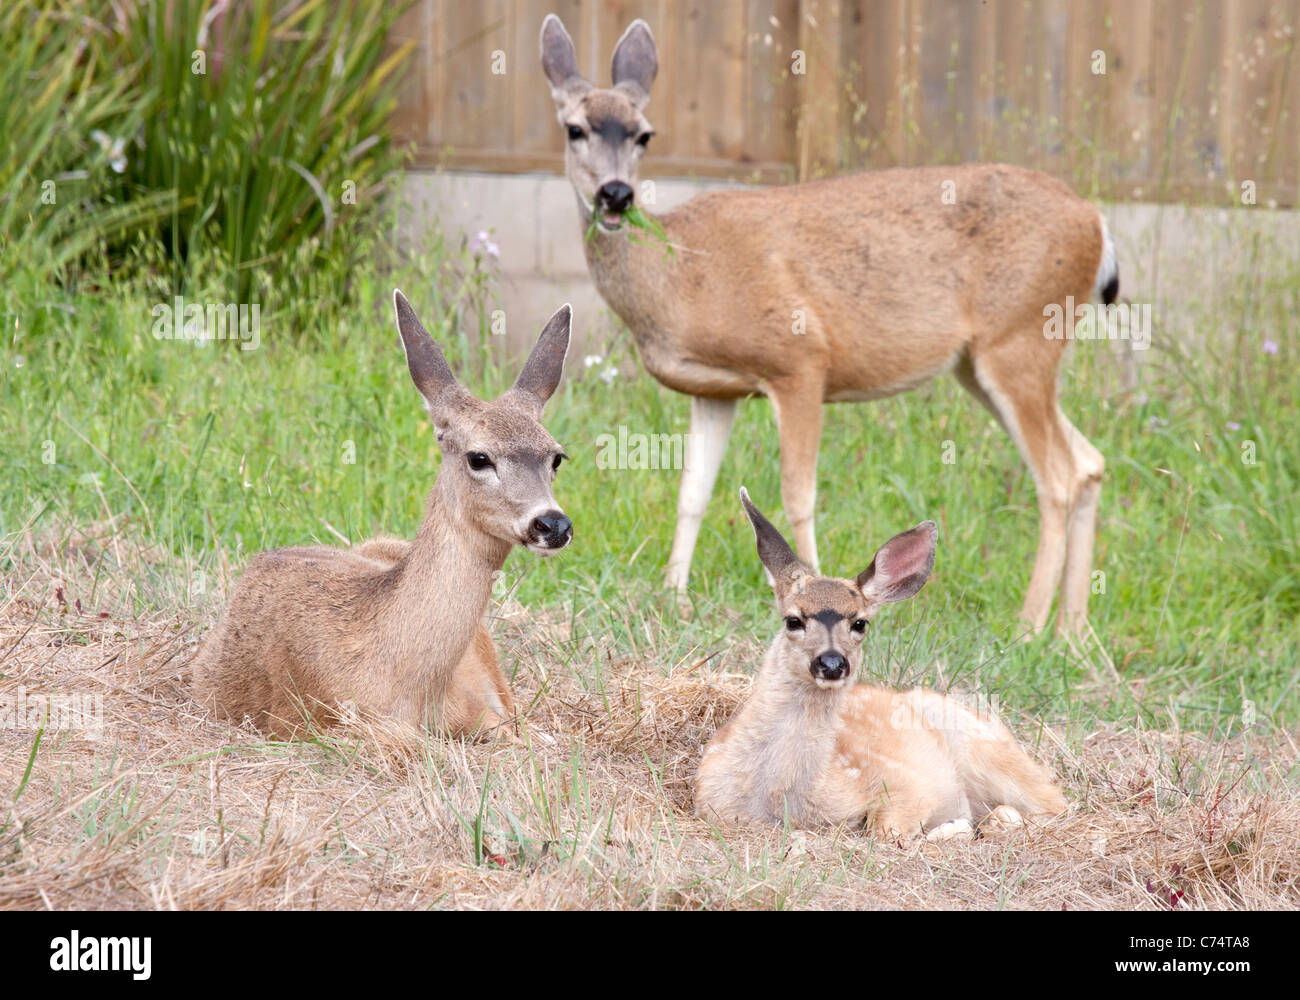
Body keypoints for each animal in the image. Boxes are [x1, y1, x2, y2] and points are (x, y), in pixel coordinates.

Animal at [539, 14, 1116, 637]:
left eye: (644, 134)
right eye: (574, 128)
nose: (616, 195)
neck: (679, 276)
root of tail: (1096, 221)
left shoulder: (799, 360)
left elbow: (799, 495)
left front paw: (815, 593)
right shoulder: (716, 390)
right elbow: (692, 491)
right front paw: (674, 596)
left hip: (1020, 338)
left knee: (1058, 476)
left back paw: (1029, 625)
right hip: (985, 361)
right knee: (1089, 461)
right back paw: (1073, 633)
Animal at [694, 488, 1068, 840]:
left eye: (860, 623)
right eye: (793, 620)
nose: (832, 663)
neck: (779, 799)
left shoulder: (909, 786)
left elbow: (887, 830)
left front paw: (952, 828)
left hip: (985, 753)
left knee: (1055, 804)